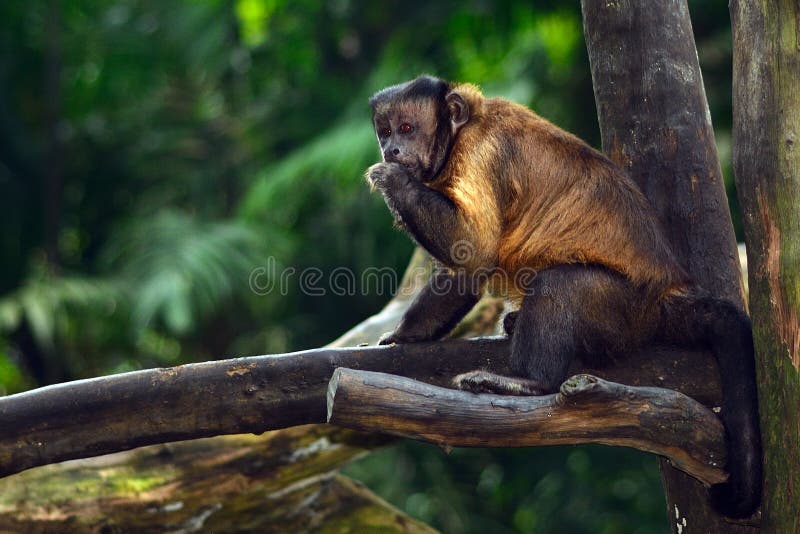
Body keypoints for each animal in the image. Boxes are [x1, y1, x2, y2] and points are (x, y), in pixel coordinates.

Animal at [364, 75, 761, 519]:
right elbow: (464, 271)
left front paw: (394, 181)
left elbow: (475, 247)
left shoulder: (480, 153)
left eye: (407, 129)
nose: (391, 150)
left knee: (561, 285)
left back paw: (530, 383)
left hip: (626, 311)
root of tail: (668, 291)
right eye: (385, 132)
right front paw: (406, 336)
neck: (459, 132)